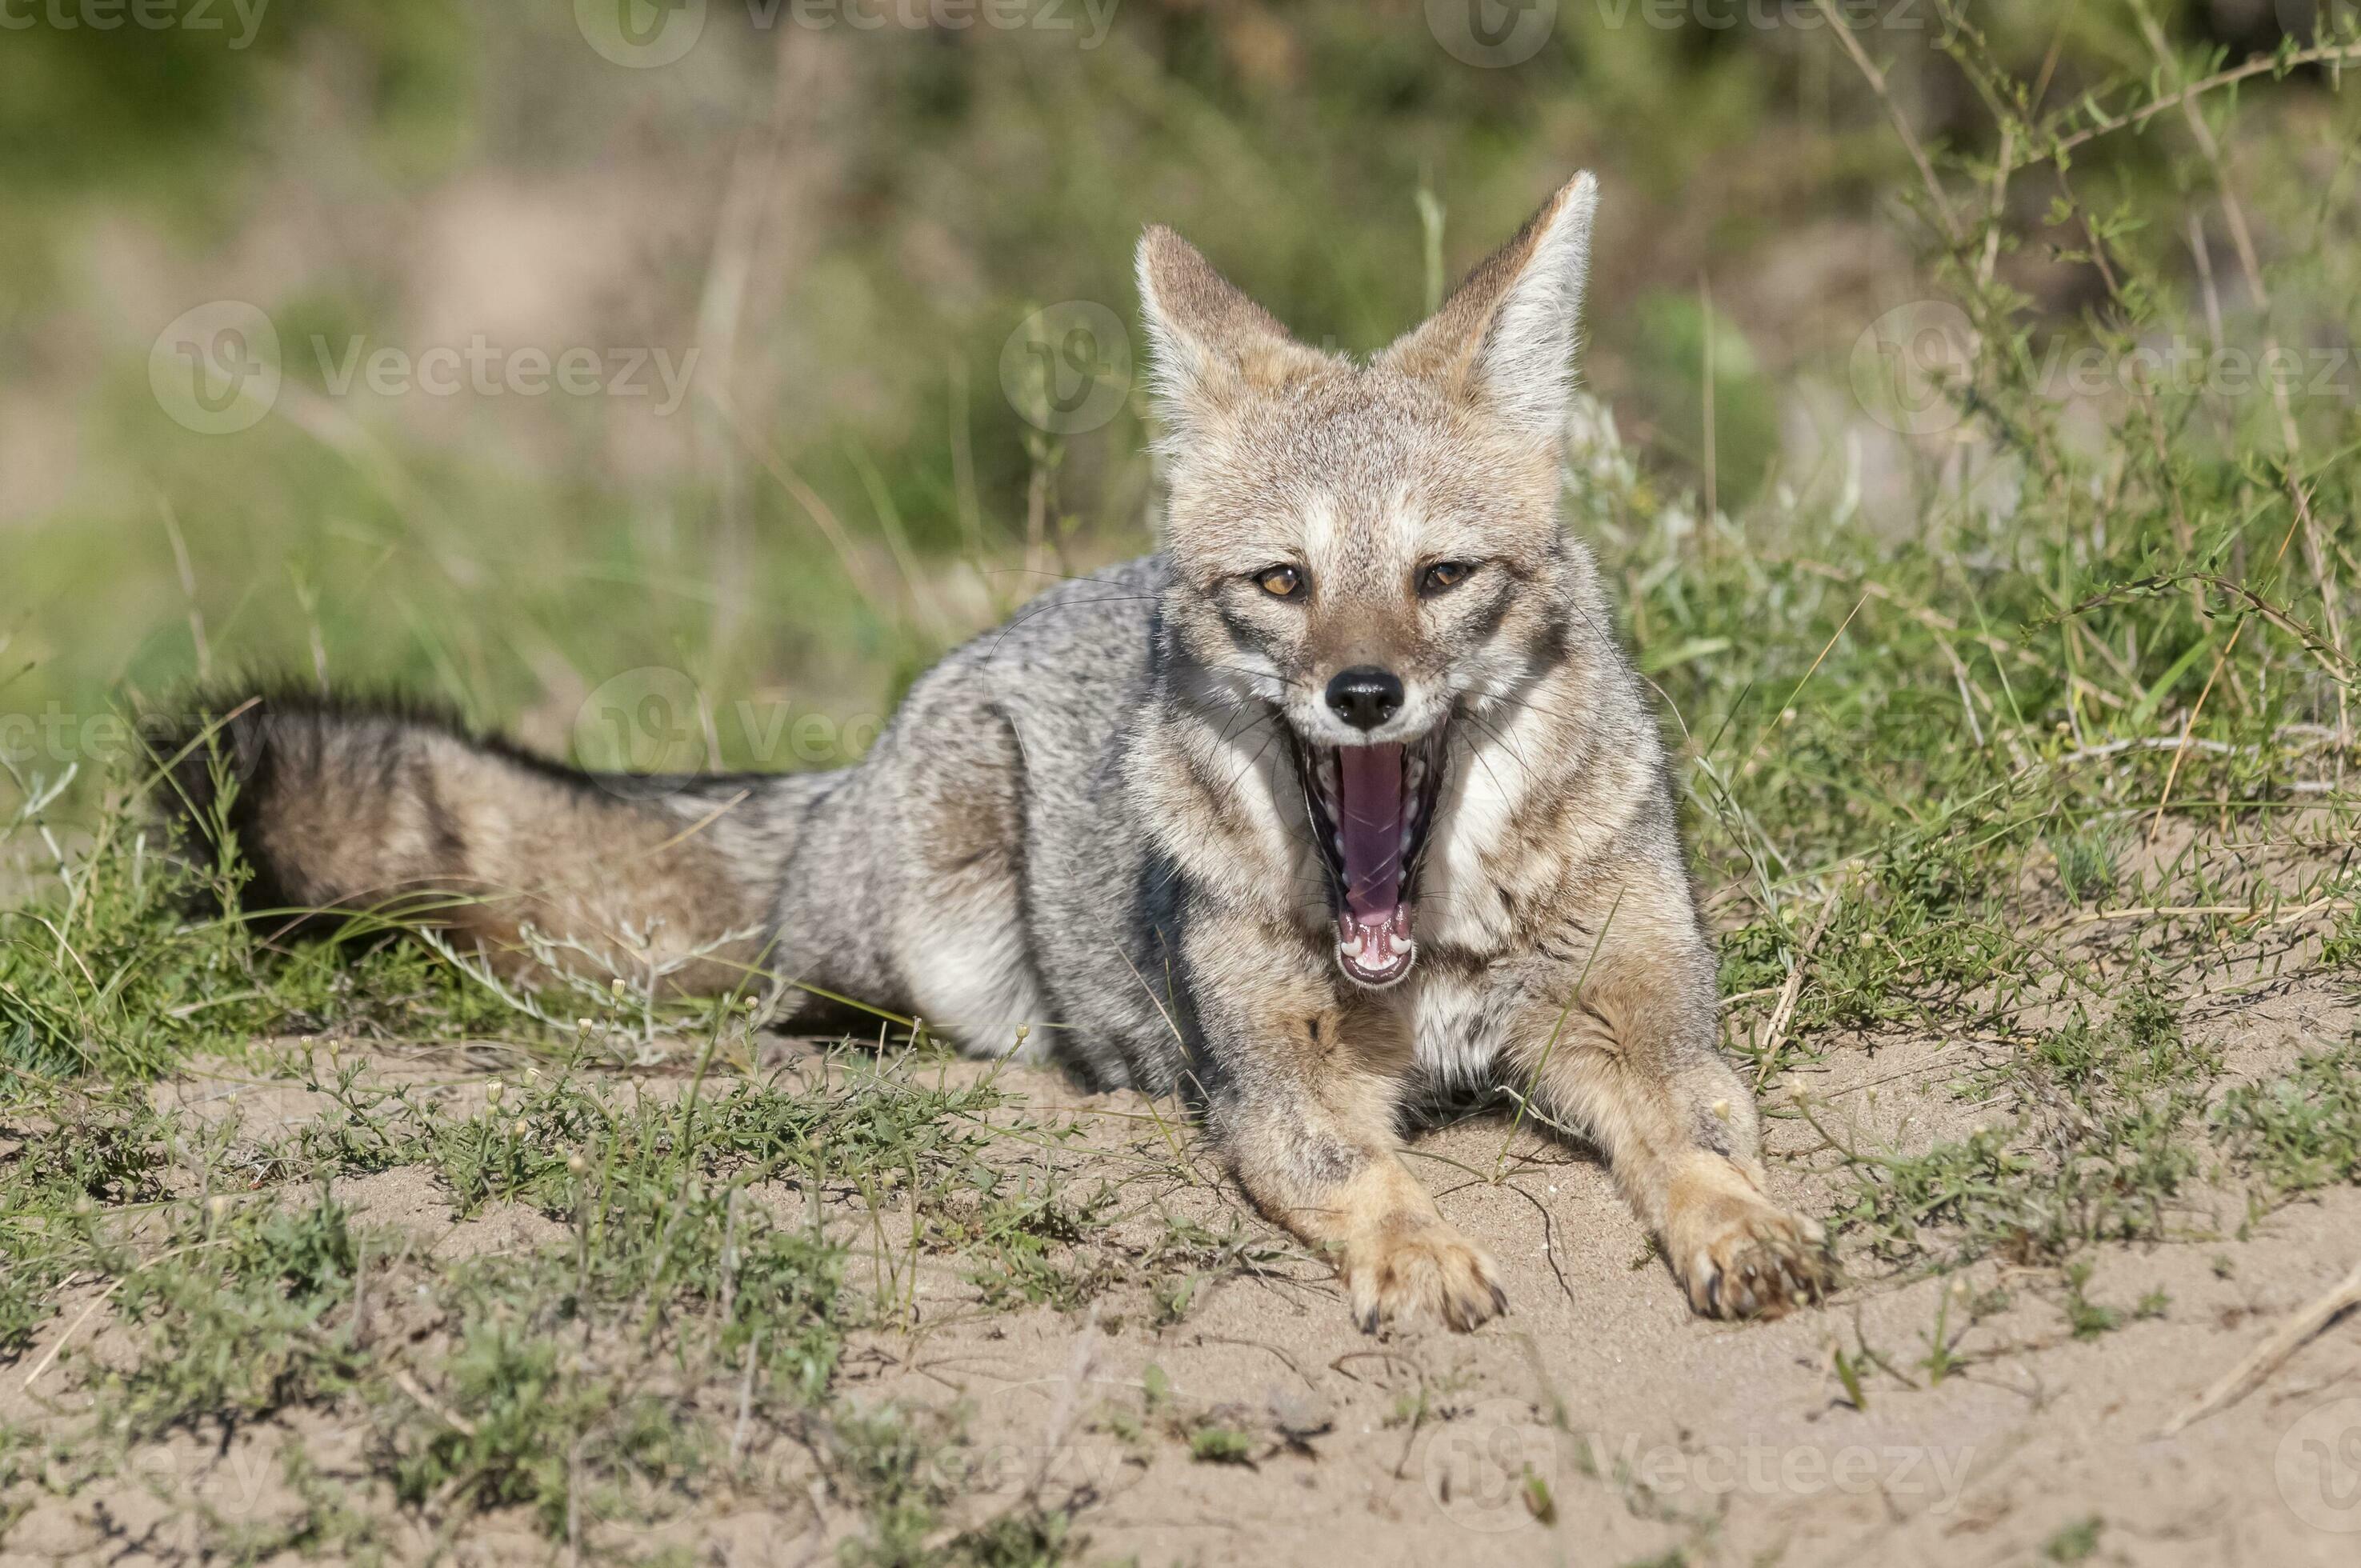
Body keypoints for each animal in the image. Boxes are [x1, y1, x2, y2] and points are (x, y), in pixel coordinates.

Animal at [165, 174, 1832, 1332]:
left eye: (1440, 577)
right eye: (1282, 583)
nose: (1362, 695)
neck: (1421, 951)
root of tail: (855, 762)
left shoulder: (1644, 1024)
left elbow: (1702, 1135)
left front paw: (1736, 1226)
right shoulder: (1275, 1088)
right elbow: (1359, 1175)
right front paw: (1421, 1253)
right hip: (928, 928)